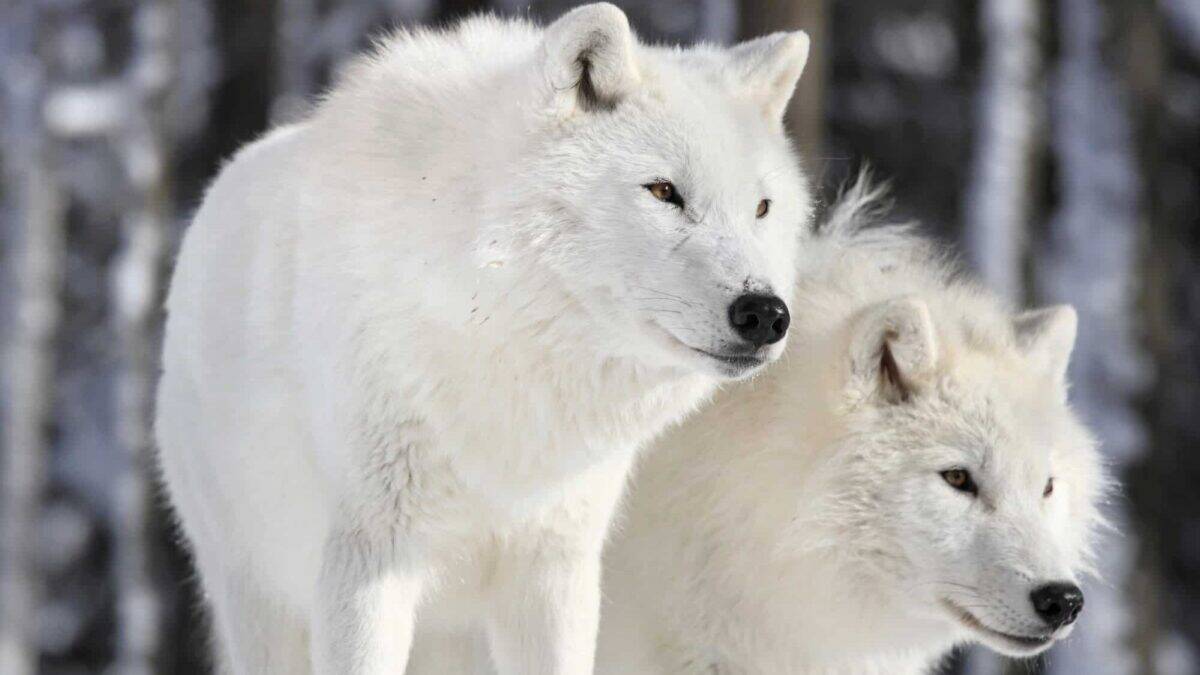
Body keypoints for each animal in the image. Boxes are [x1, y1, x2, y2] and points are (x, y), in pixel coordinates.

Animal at [154, 5, 812, 673]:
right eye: (662, 191)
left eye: (761, 207)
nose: (765, 314)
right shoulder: (367, 561)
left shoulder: (557, 569)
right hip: (262, 605)